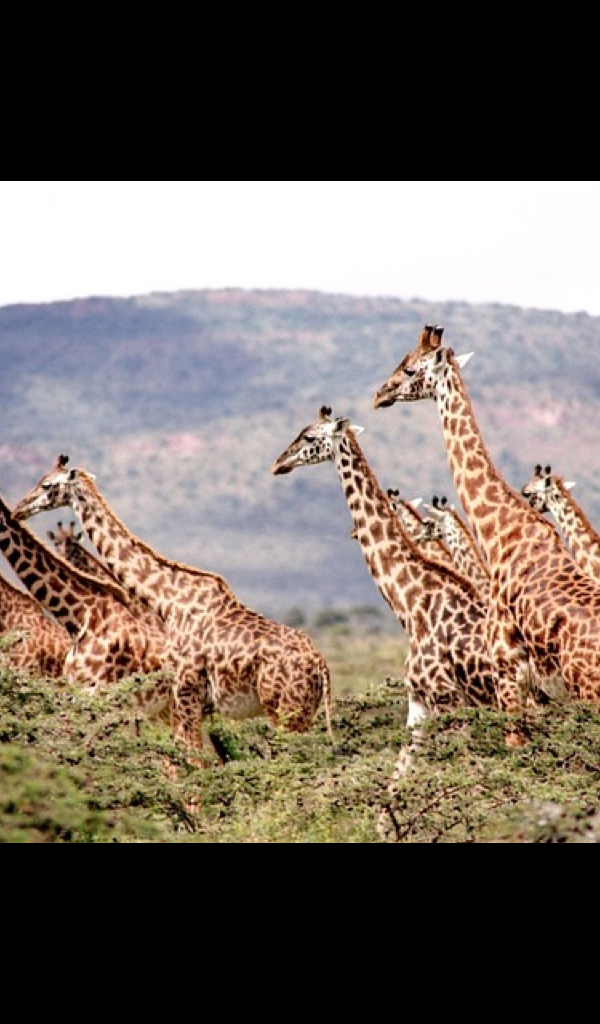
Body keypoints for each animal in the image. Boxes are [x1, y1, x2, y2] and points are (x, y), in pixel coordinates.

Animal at [13, 455, 333, 742]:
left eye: (46, 485)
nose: (19, 509)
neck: (169, 600)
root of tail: (321, 666)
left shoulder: (186, 689)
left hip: (284, 710)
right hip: (300, 712)